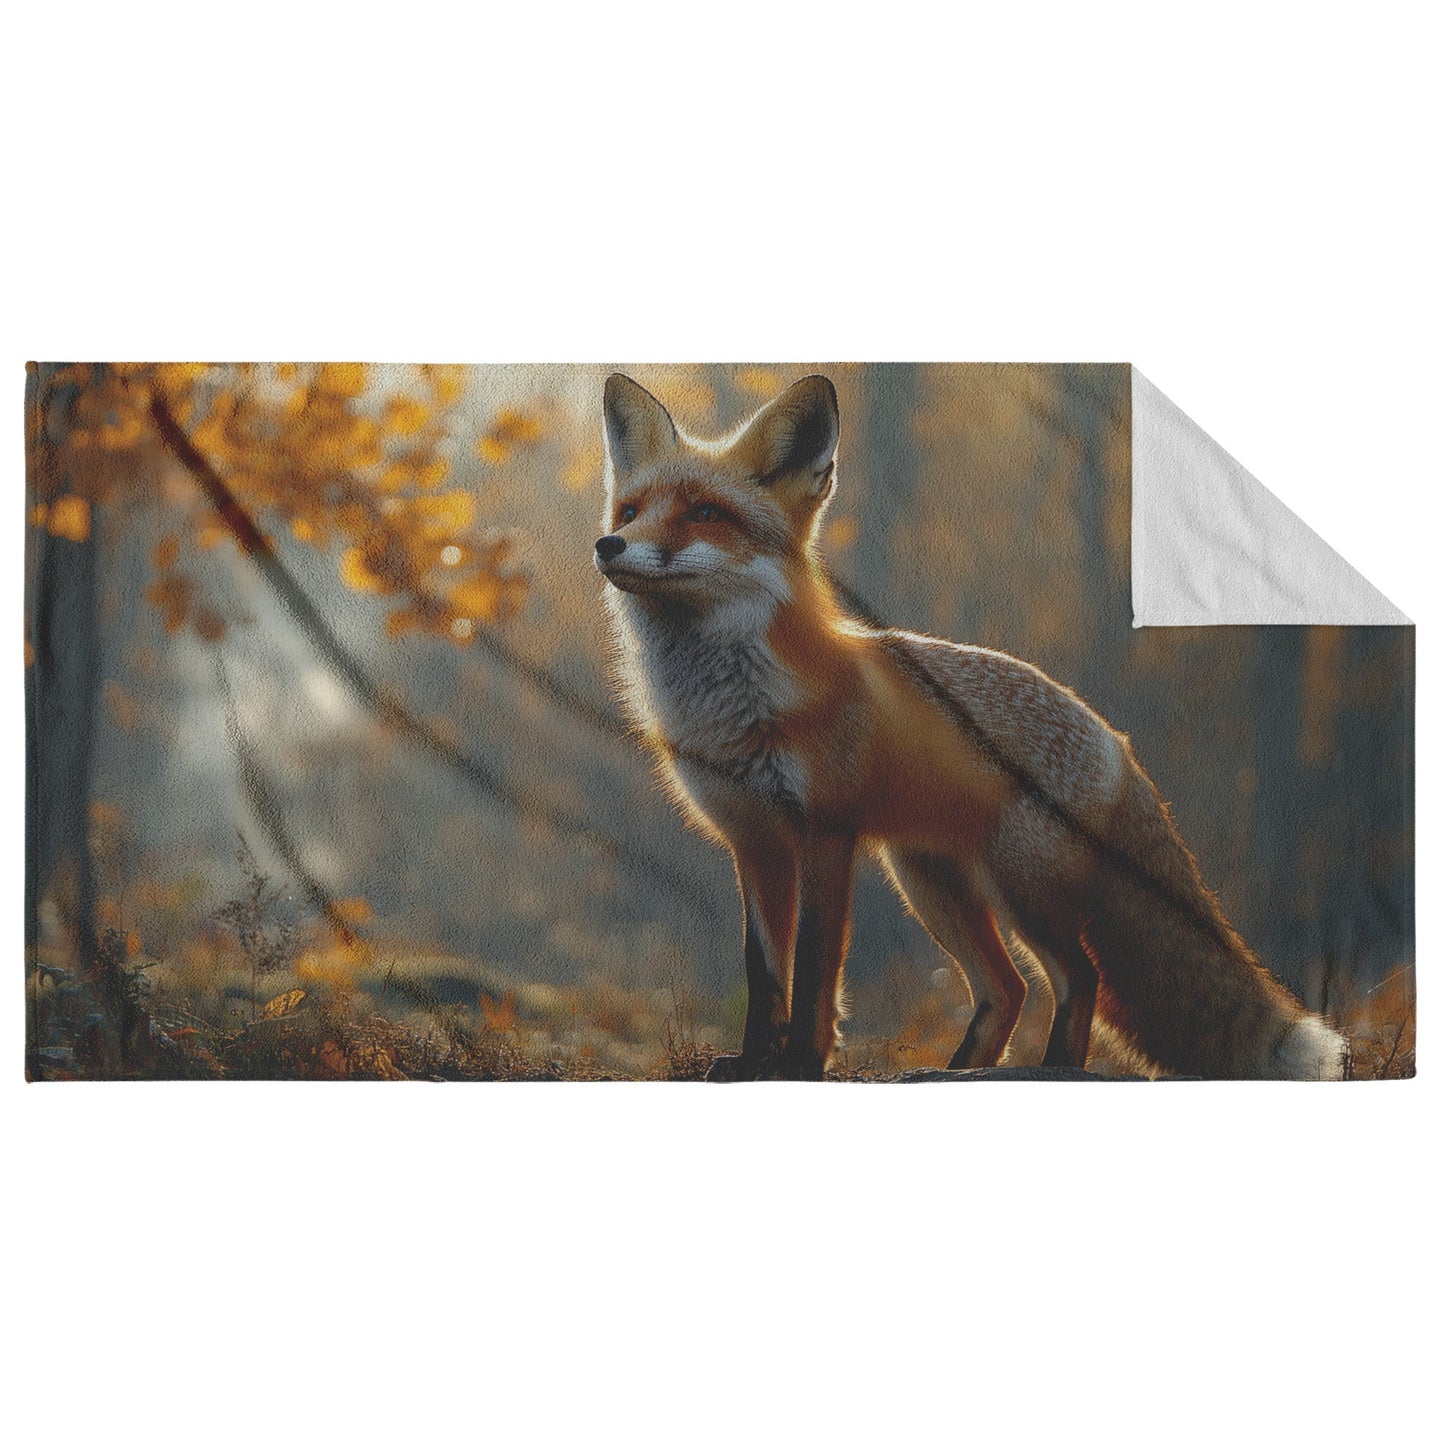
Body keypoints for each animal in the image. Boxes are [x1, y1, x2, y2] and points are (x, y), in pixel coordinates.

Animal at [594, 371, 1349, 1082]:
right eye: (630, 511)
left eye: (704, 513)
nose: (608, 543)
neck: (733, 707)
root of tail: (1114, 740)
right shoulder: (753, 843)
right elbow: (763, 975)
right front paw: (755, 1060)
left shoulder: (824, 834)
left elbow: (812, 972)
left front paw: (802, 1063)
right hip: (932, 884)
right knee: (1007, 989)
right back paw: (957, 1071)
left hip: (1020, 887)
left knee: (1077, 977)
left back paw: (1053, 1071)